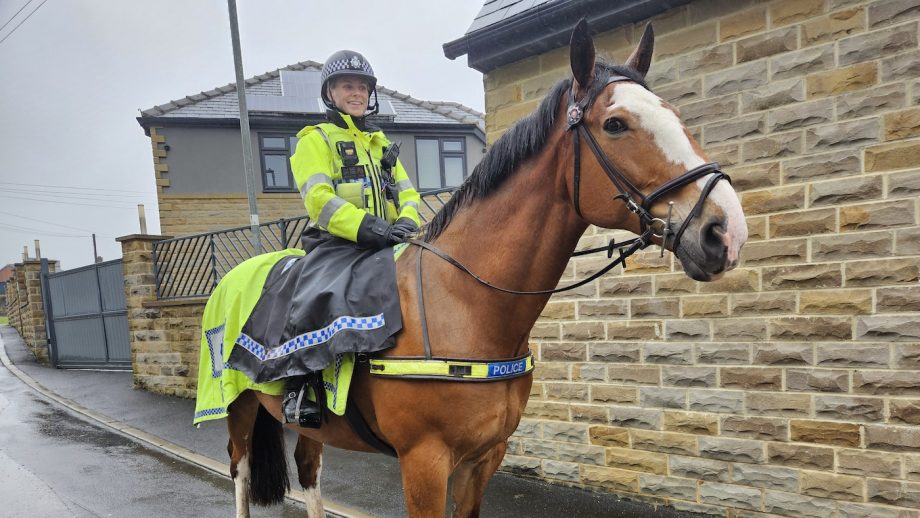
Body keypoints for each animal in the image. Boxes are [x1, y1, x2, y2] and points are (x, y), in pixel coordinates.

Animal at [220, 20, 747, 518]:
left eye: (674, 114)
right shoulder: (424, 464)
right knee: (240, 473)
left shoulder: (484, 458)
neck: (465, 303)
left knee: (308, 470)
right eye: (616, 124)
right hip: (235, 405)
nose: (725, 230)